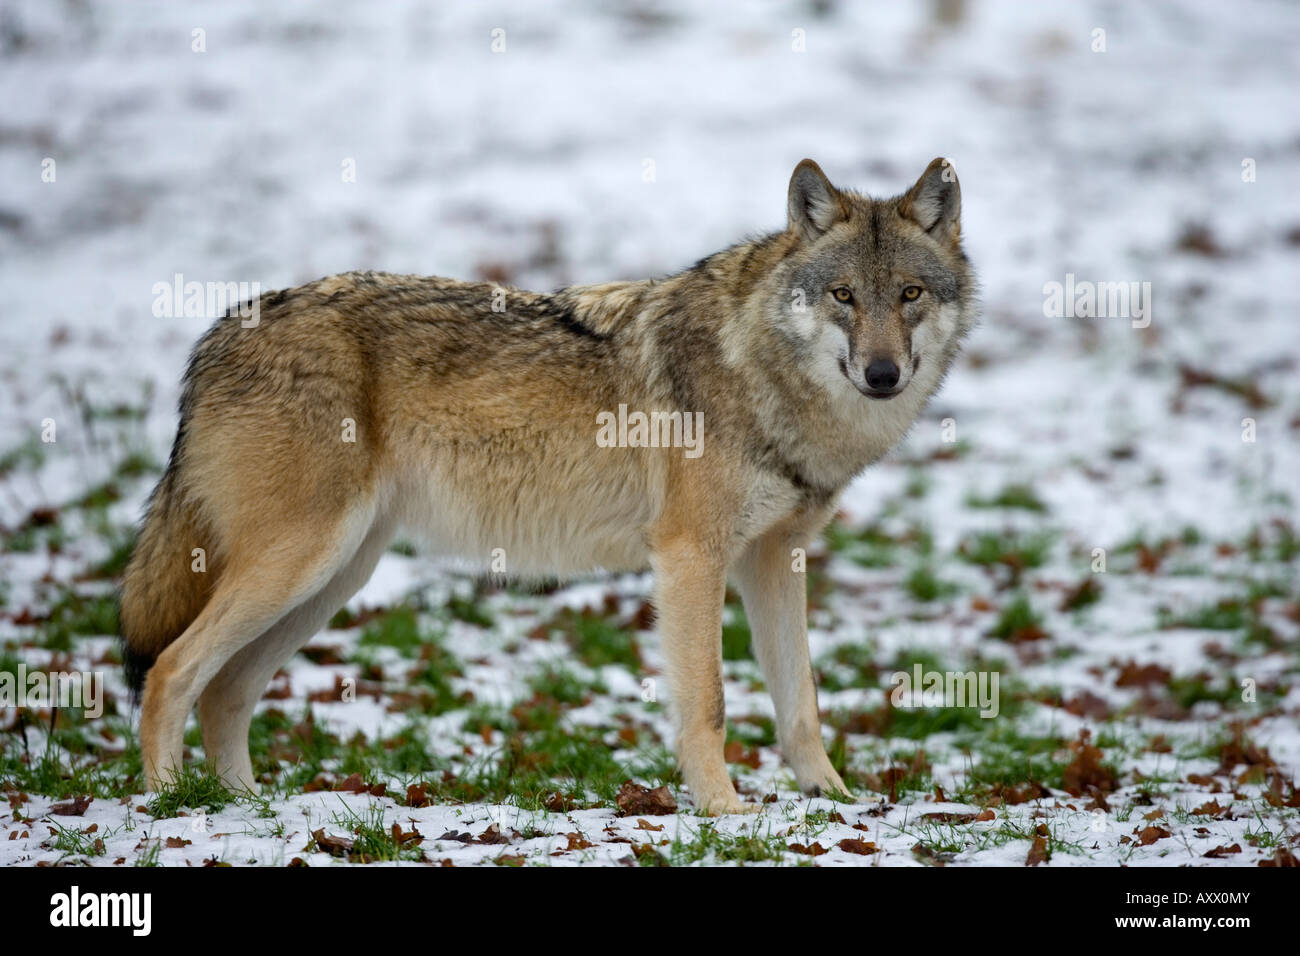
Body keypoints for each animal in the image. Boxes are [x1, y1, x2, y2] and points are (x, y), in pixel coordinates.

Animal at [120, 158, 976, 814]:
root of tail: (215, 335)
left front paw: (834, 802)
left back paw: (245, 809)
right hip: (301, 563)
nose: (882, 375)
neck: (759, 368)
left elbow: (802, 706)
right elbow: (709, 703)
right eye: (844, 296)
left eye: (908, 294)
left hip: (333, 578)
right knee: (169, 673)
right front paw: (727, 814)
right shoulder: (691, 557)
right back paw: (173, 806)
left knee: (225, 691)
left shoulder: (774, 561)